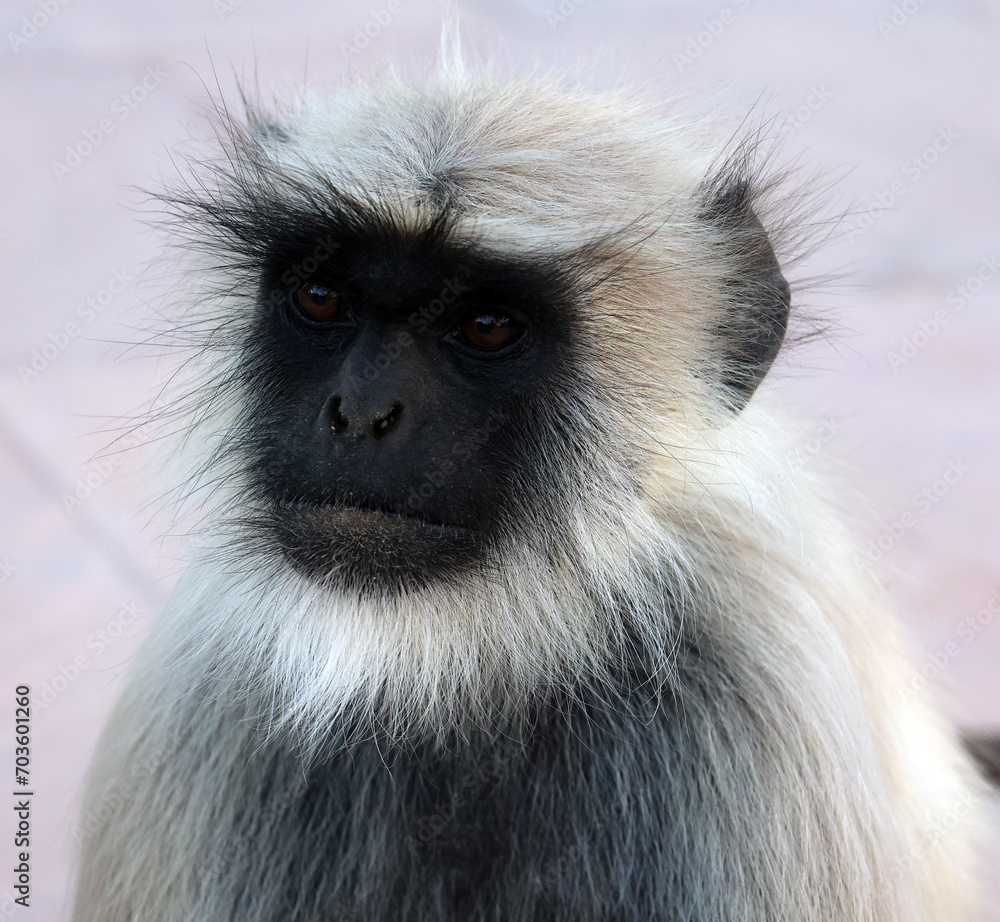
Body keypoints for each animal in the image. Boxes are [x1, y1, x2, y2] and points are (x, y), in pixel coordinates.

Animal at [73, 52, 984, 922]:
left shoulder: (762, 704)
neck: (469, 656)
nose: (361, 412)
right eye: (321, 297)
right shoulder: (207, 696)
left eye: (485, 327)